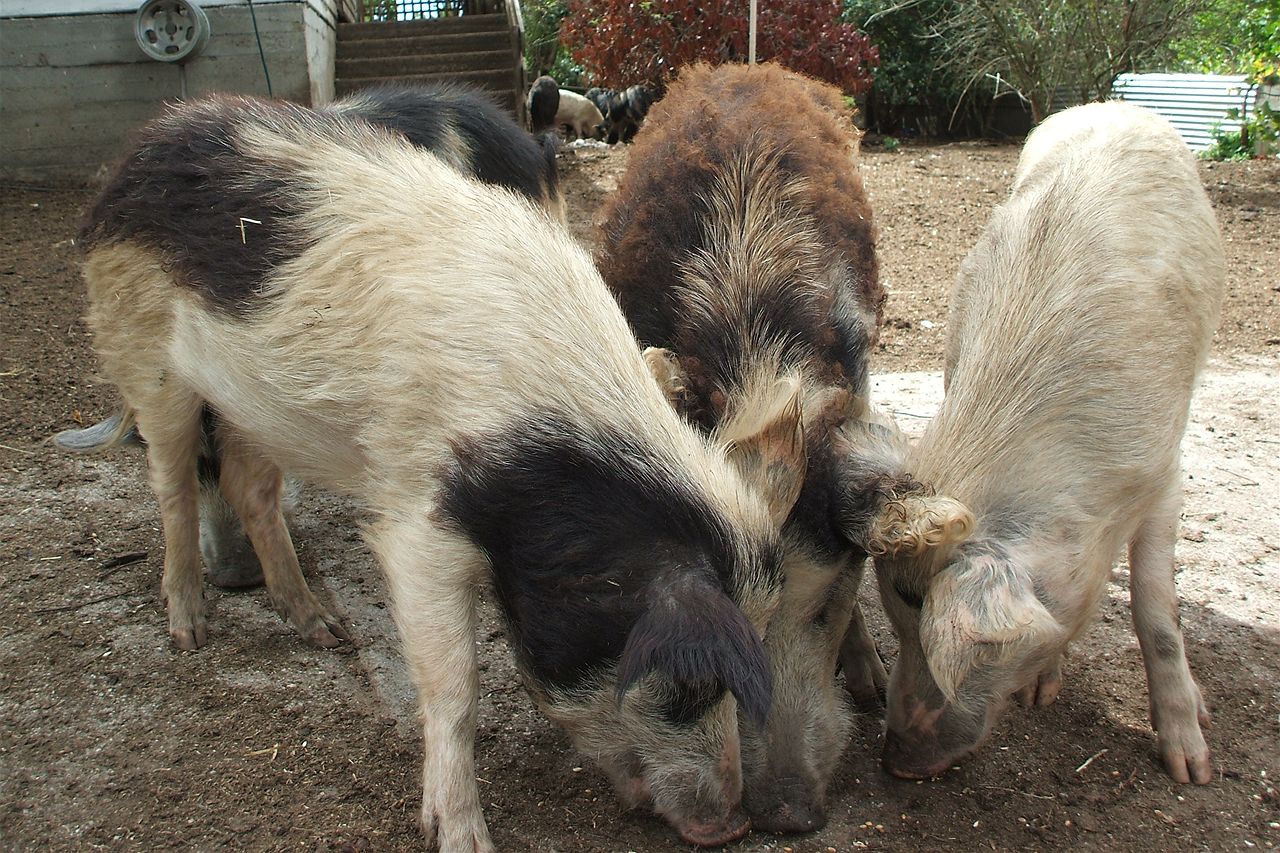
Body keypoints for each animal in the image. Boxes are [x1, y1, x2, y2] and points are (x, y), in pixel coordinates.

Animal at [873, 101, 1224, 785]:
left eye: (972, 654)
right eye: (897, 625)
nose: (894, 760)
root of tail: (1112, 104)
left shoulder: (1164, 469)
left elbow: (1157, 610)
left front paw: (1190, 769)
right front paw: (1043, 693)